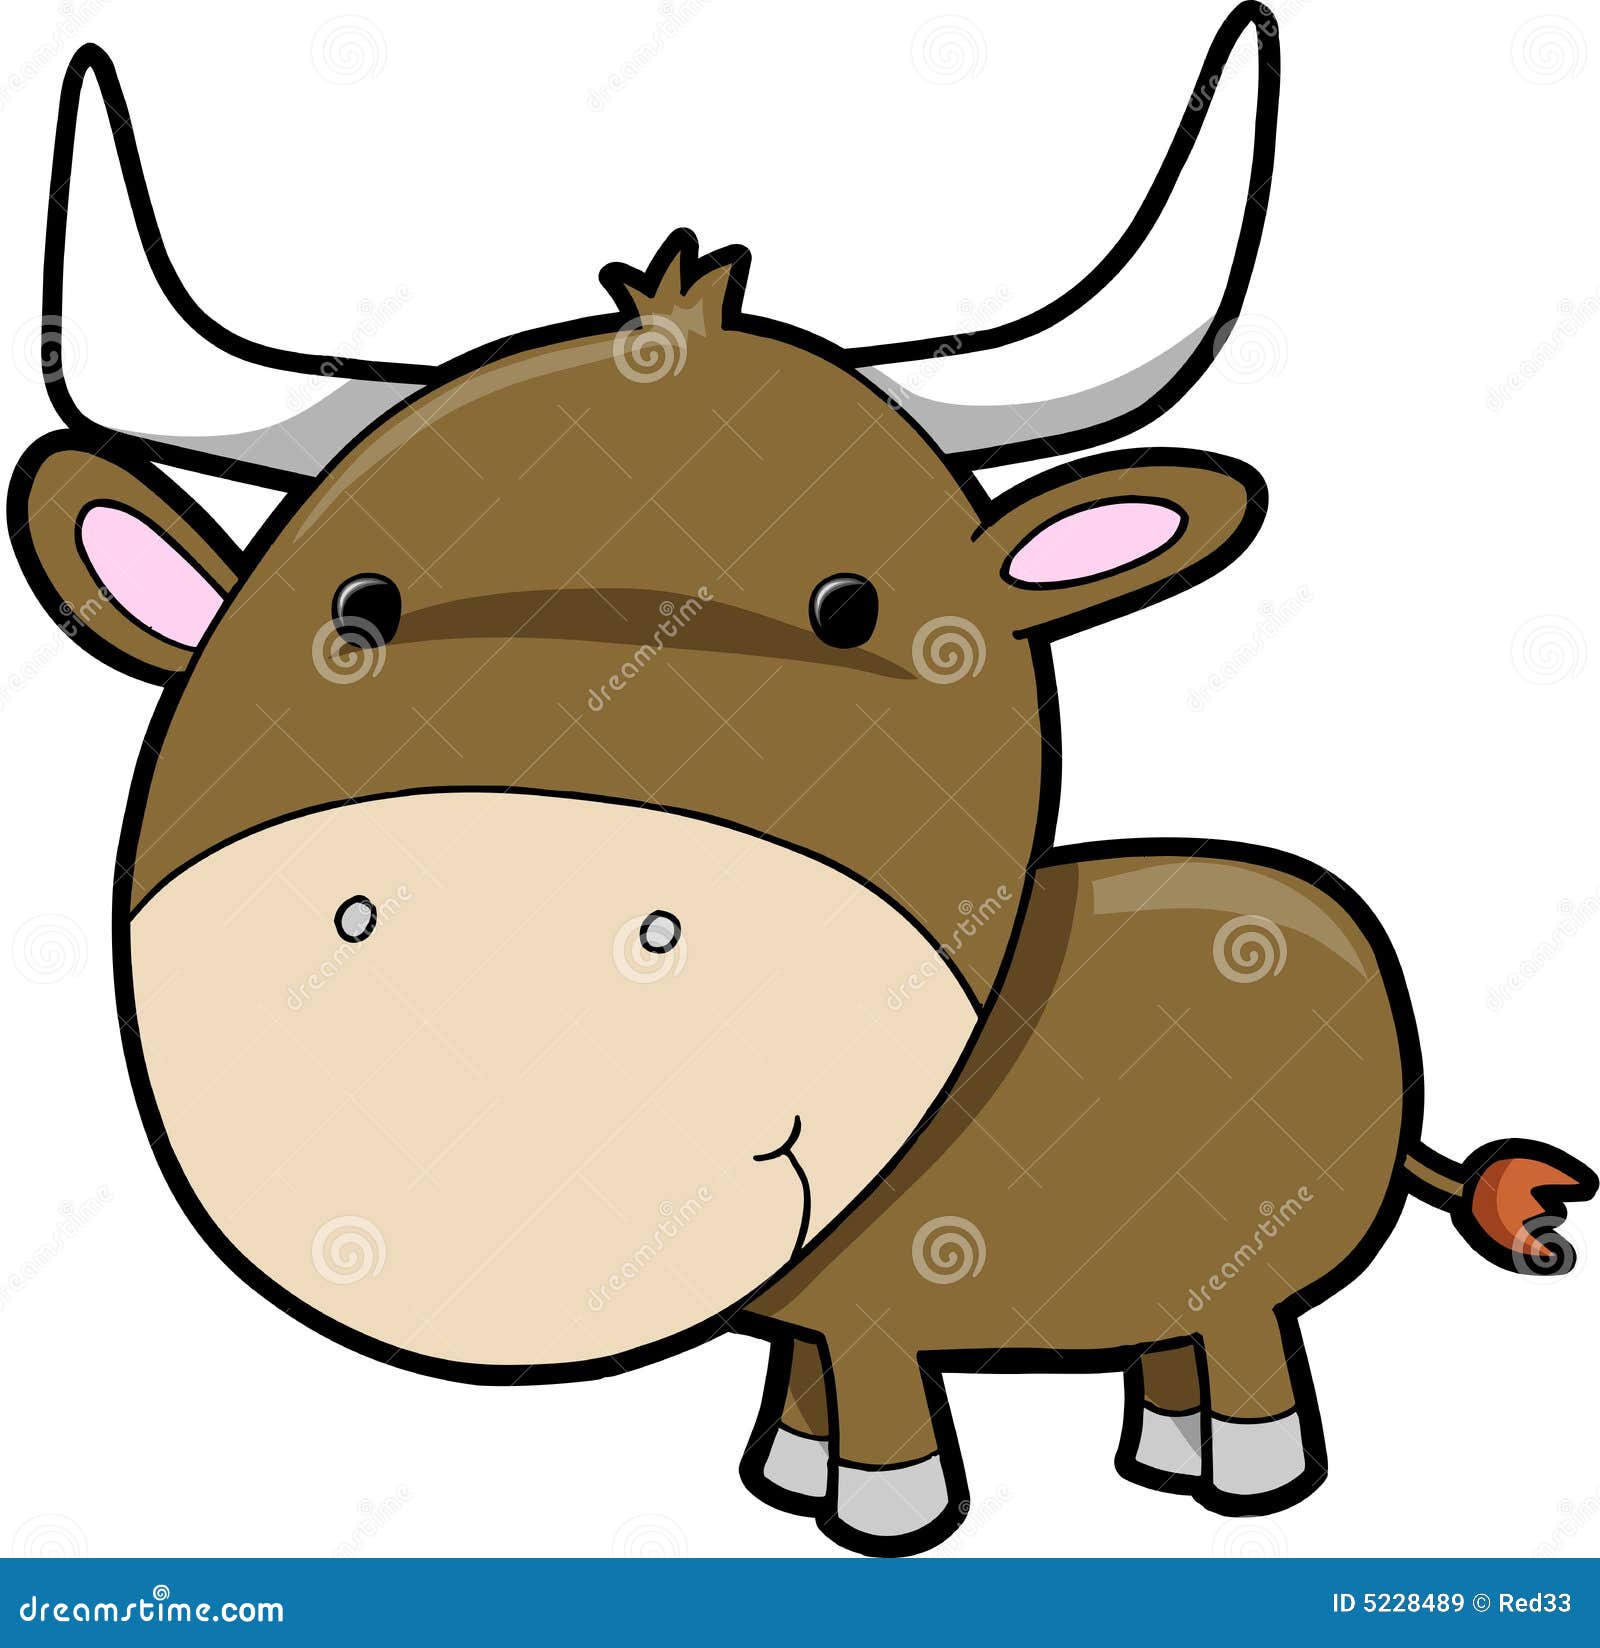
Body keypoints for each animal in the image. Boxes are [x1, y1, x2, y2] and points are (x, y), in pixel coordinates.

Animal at [9, 11, 1594, 1557]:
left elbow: (887, 1414)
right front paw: (786, 1477)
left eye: (850, 607)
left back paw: (1246, 1477)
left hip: (1257, 1276)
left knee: (1249, 1344)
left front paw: (887, 1513)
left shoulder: (888, 1313)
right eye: (356, 608)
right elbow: (808, 1388)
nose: (422, 930)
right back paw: (1159, 1455)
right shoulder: (822, 1319)